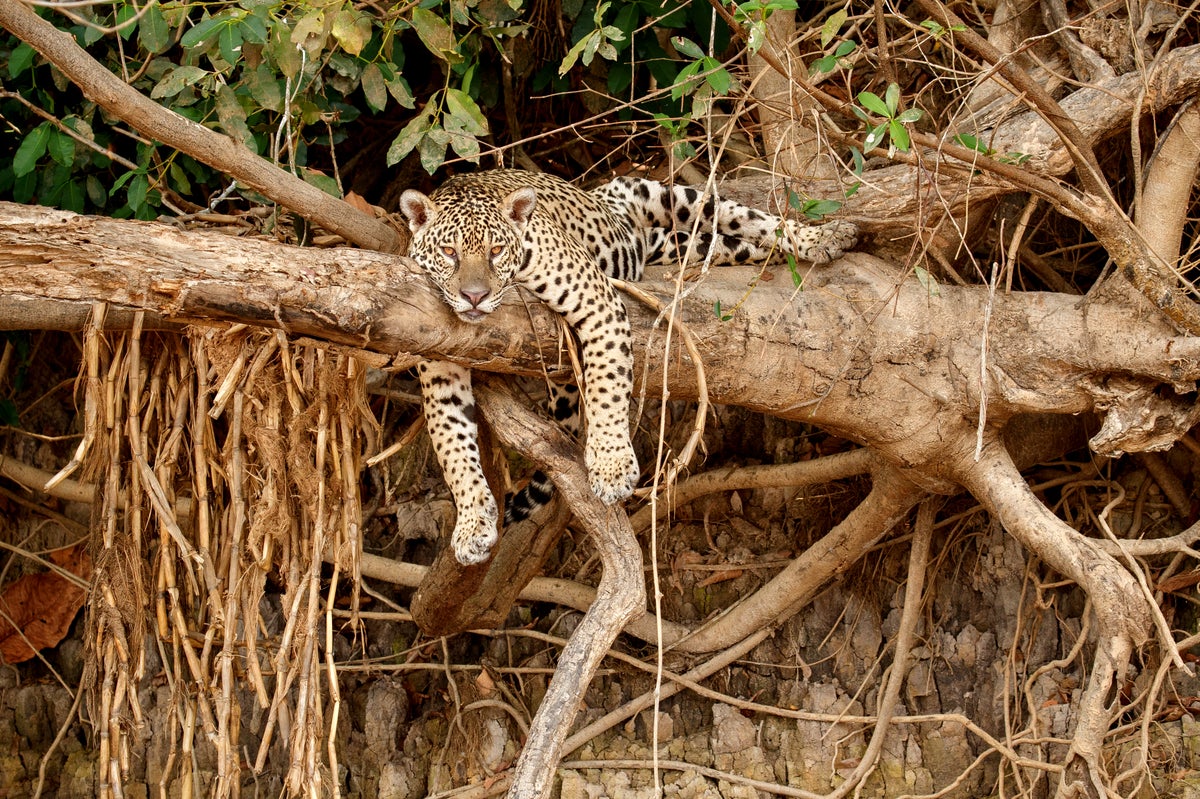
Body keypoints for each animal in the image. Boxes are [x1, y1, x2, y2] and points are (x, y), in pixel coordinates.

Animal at [400, 169, 857, 565]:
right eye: (449, 252)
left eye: (496, 251)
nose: (474, 296)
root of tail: (607, 201)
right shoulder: (437, 361)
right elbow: (452, 445)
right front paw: (471, 524)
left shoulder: (597, 300)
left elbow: (606, 384)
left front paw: (611, 467)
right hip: (676, 242)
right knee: (714, 243)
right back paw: (757, 252)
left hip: (670, 196)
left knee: (750, 218)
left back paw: (825, 236)